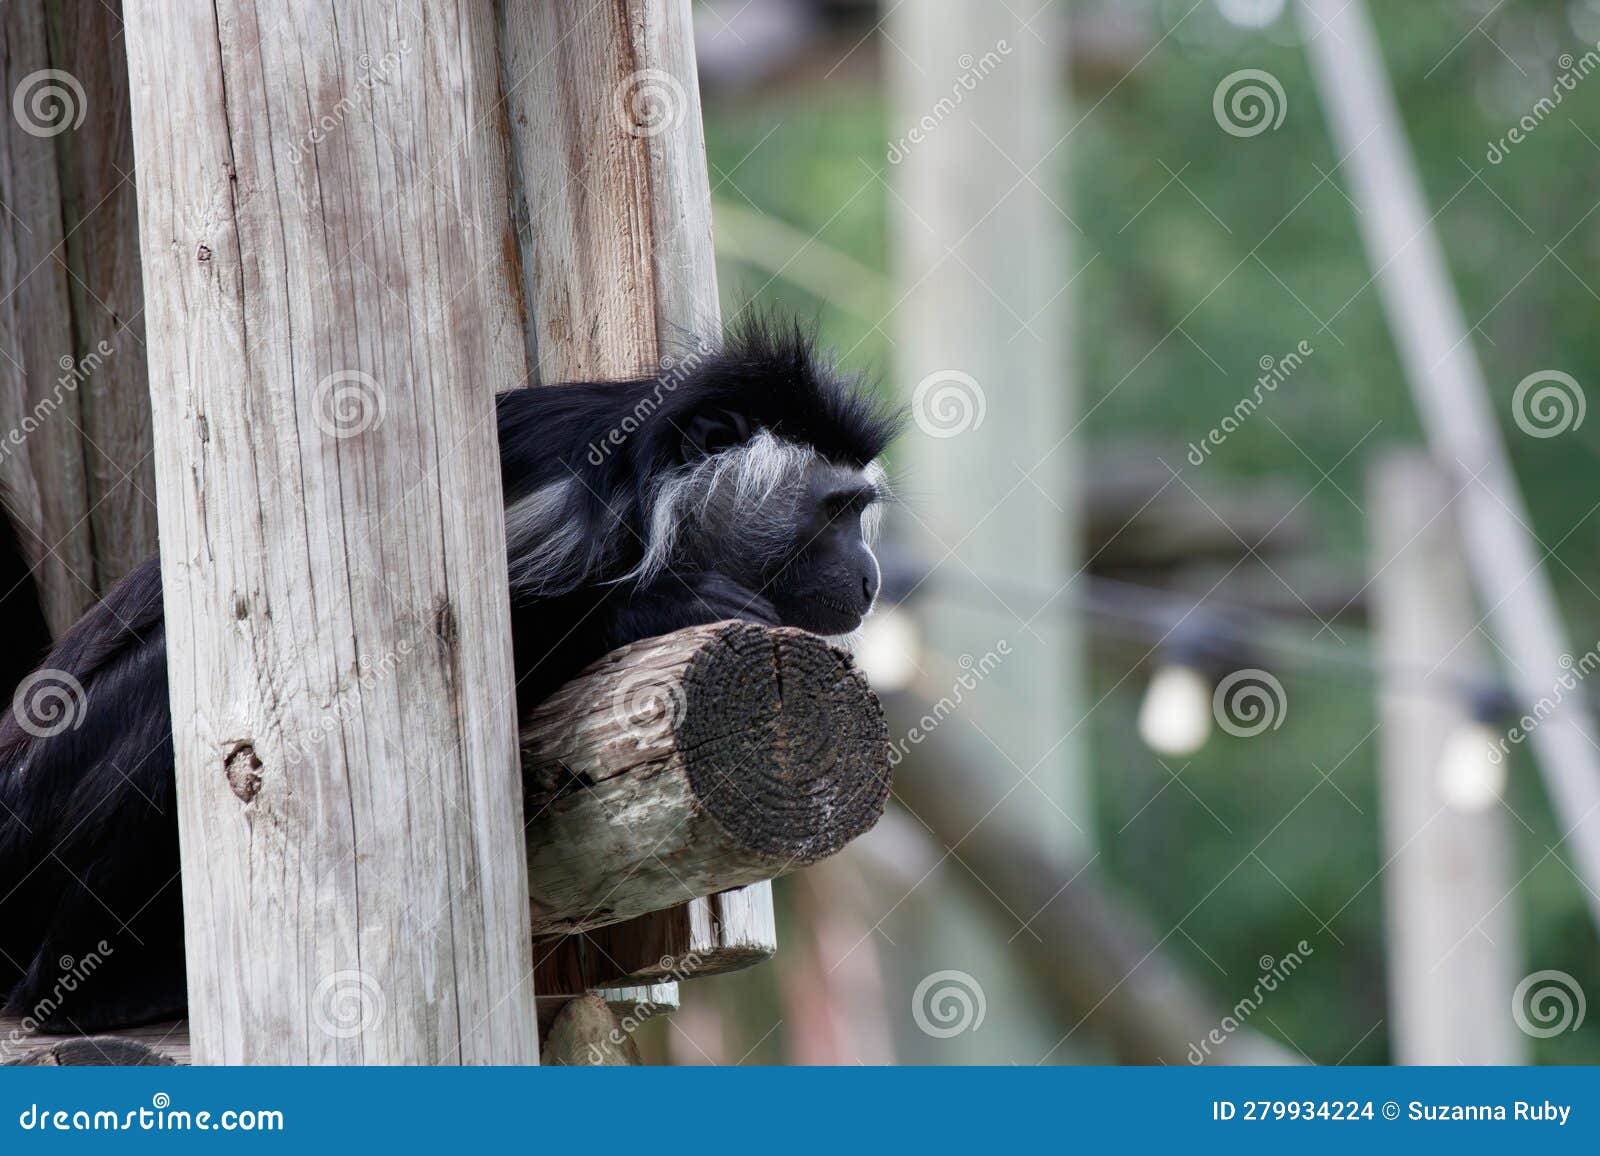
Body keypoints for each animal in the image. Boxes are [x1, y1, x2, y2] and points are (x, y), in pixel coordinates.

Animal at [0, 319, 900, 1032]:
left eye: (861, 512)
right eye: (833, 512)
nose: (869, 578)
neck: (648, 498)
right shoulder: (548, 518)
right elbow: (423, 650)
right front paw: (664, 603)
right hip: (45, 800)